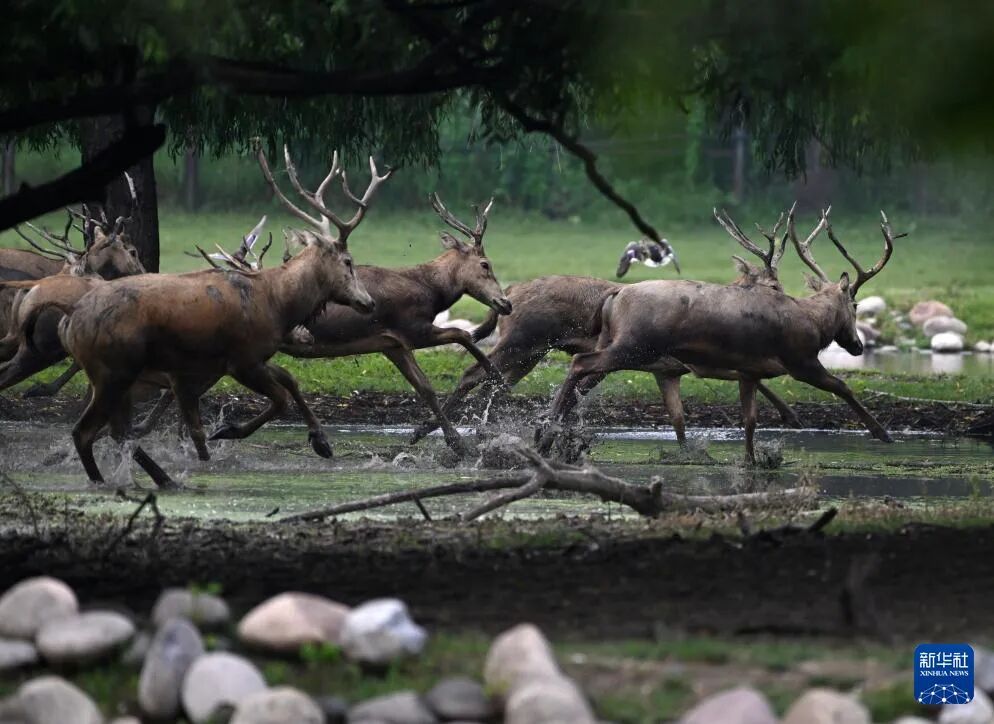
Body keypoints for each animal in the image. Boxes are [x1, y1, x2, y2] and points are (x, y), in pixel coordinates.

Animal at [45, 141, 384, 484]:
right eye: (348, 262)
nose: (369, 302)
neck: (278, 304)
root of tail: (69, 323)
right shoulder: (241, 359)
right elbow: (279, 398)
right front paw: (226, 430)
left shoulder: (250, 358)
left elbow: (290, 381)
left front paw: (322, 442)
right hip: (113, 370)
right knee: (88, 431)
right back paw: (120, 480)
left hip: (114, 375)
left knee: (116, 430)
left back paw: (157, 478)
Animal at [277, 191, 512, 456]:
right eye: (485, 264)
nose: (506, 303)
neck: (432, 293)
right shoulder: (412, 329)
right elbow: (462, 334)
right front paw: (497, 377)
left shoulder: (391, 343)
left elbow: (425, 387)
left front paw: (443, 439)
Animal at [409, 212, 803, 448]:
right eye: (773, 284)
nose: (790, 306)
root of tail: (509, 294)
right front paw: (791, 415)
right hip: (521, 340)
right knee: (475, 373)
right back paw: (435, 430)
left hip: (531, 351)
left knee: (494, 381)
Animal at [539, 206, 900, 463]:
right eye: (855, 304)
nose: (857, 346)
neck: (814, 324)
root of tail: (615, 296)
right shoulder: (800, 360)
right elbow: (842, 386)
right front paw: (882, 433)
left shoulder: (750, 371)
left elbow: (750, 420)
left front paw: (751, 459)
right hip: (633, 344)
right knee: (580, 362)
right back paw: (547, 434)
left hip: (618, 343)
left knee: (582, 375)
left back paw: (545, 436)